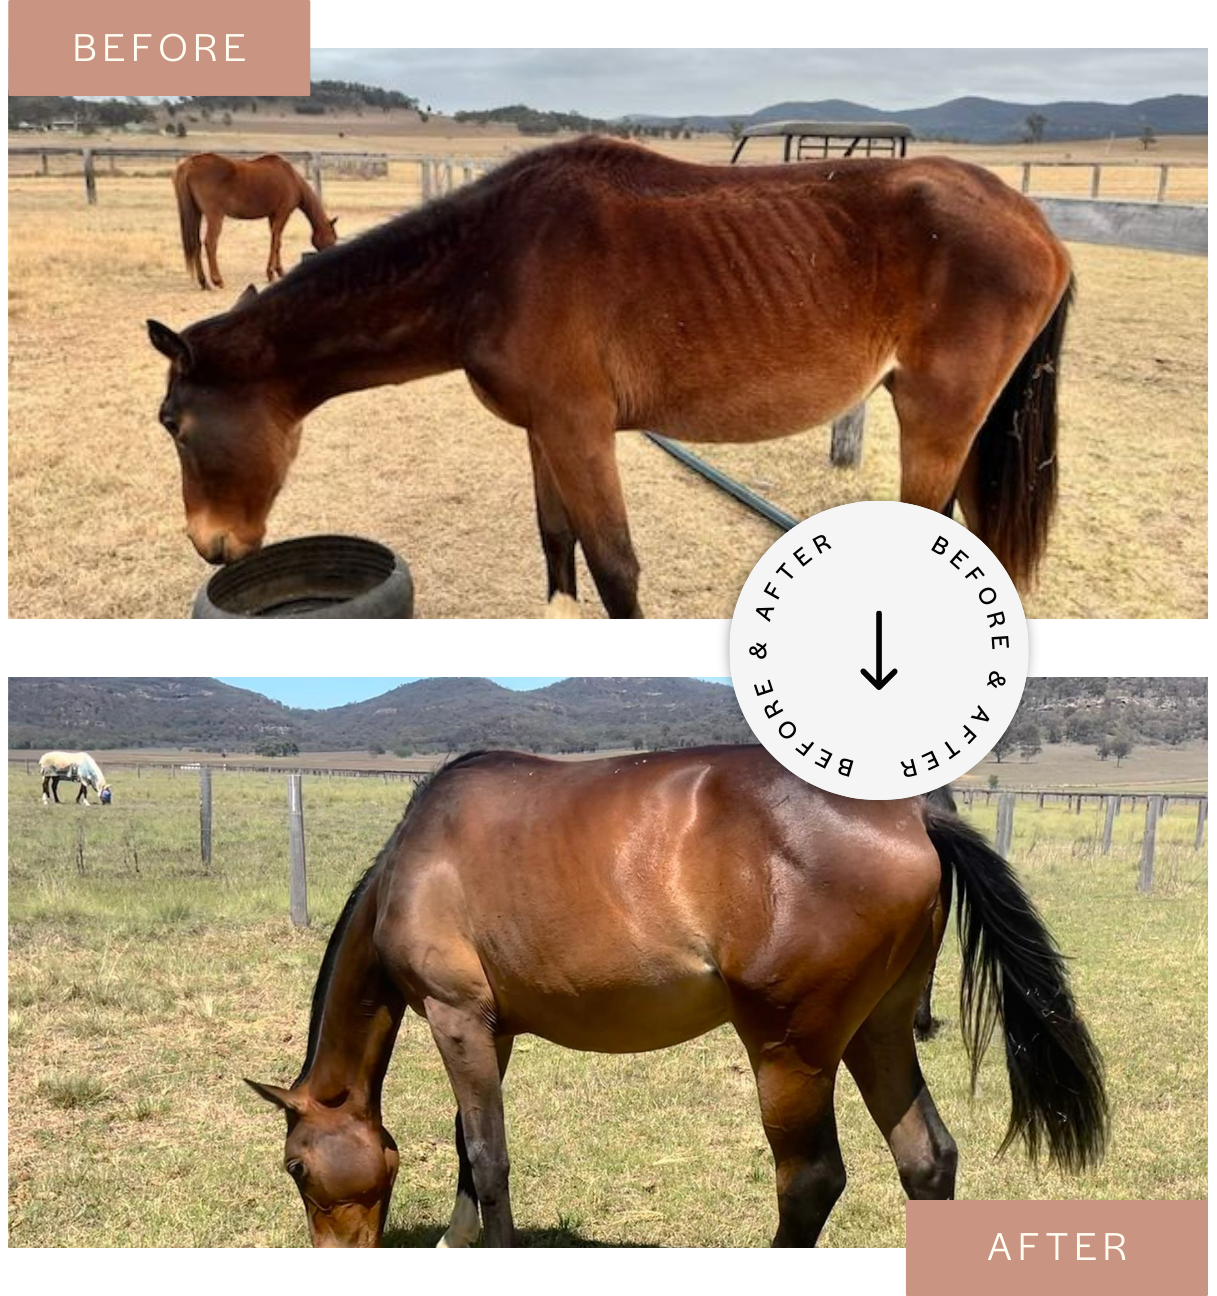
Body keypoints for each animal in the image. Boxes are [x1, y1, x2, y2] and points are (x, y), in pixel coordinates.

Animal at [173, 153, 338, 291]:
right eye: (333, 239)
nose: (330, 260)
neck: (292, 179)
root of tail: (190, 163)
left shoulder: (273, 216)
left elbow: (276, 241)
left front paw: (278, 271)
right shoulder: (282, 214)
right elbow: (276, 242)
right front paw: (272, 273)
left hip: (196, 213)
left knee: (196, 244)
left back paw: (204, 283)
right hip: (214, 216)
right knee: (210, 243)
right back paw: (218, 281)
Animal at [246, 747, 1106, 1248]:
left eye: (295, 1166)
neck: (413, 861)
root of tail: (911, 810)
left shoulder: (458, 1020)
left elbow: (488, 1156)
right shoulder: (492, 1030)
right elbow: (467, 1143)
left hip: (790, 1051)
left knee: (811, 1181)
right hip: (877, 1031)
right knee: (926, 1160)